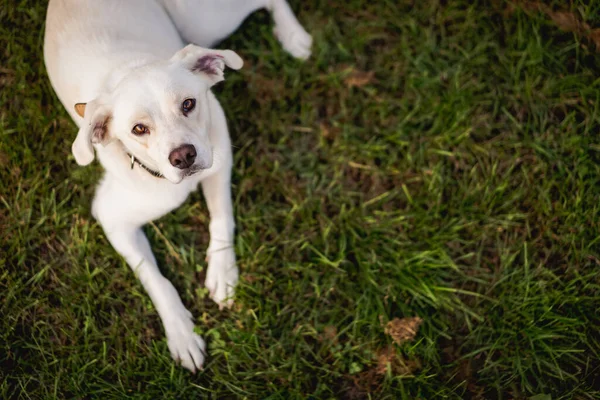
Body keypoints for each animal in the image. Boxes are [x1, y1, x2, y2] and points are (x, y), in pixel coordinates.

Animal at [44, 0, 312, 372]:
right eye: (139, 129)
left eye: (188, 104)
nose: (184, 157)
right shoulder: (112, 218)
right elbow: (156, 279)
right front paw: (182, 334)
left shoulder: (220, 158)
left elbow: (222, 217)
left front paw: (222, 272)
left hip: (204, 23)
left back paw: (294, 37)